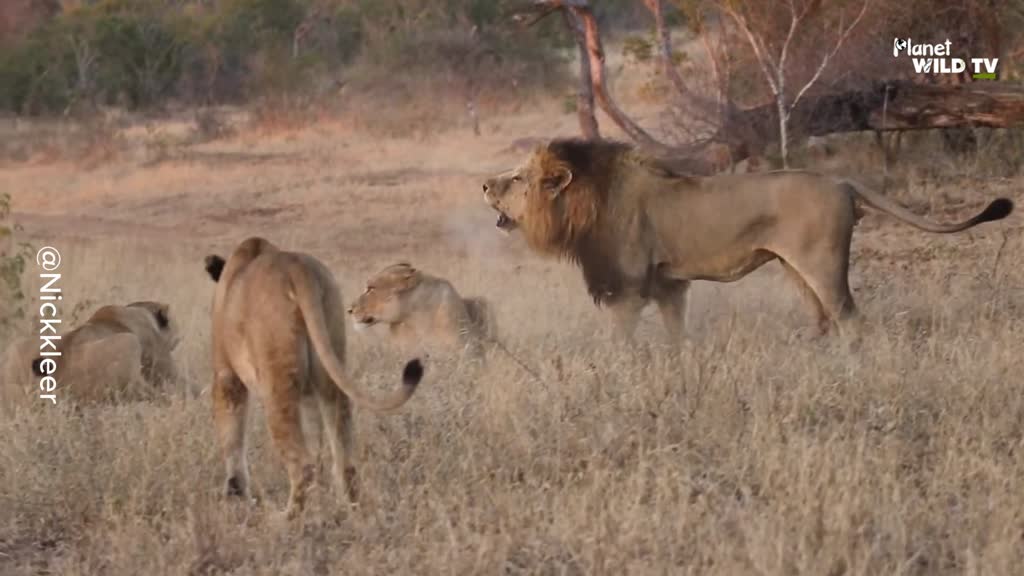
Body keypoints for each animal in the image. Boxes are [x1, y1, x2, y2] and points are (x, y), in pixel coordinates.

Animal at [204, 238, 424, 518]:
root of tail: (296, 267)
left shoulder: (226, 376)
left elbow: (231, 439)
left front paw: (235, 495)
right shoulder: (308, 393)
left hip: (276, 384)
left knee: (302, 466)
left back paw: (284, 519)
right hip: (330, 366)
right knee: (344, 459)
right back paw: (349, 510)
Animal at [482, 138, 1014, 340]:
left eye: (518, 179)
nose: (485, 184)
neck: (586, 206)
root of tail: (842, 181)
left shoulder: (627, 287)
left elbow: (623, 340)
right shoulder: (668, 285)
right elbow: (676, 336)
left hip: (822, 265)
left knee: (850, 319)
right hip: (796, 268)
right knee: (825, 320)